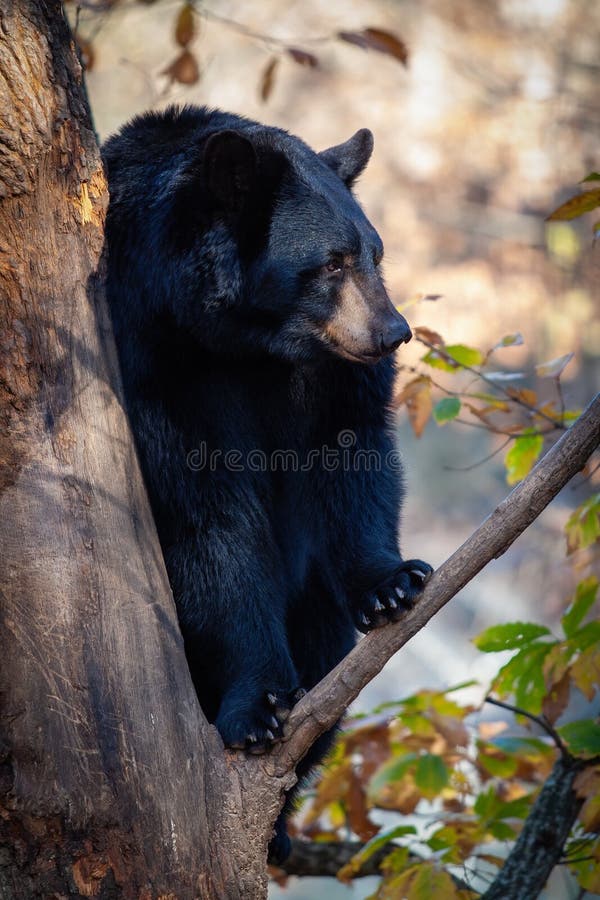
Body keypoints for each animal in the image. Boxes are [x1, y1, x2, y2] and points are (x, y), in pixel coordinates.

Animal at [102, 105, 432, 863]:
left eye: (374, 254)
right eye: (331, 262)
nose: (394, 332)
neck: (247, 343)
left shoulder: (330, 374)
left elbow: (351, 457)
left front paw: (392, 583)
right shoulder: (154, 354)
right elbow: (209, 521)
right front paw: (259, 706)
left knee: (322, 636)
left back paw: (278, 827)